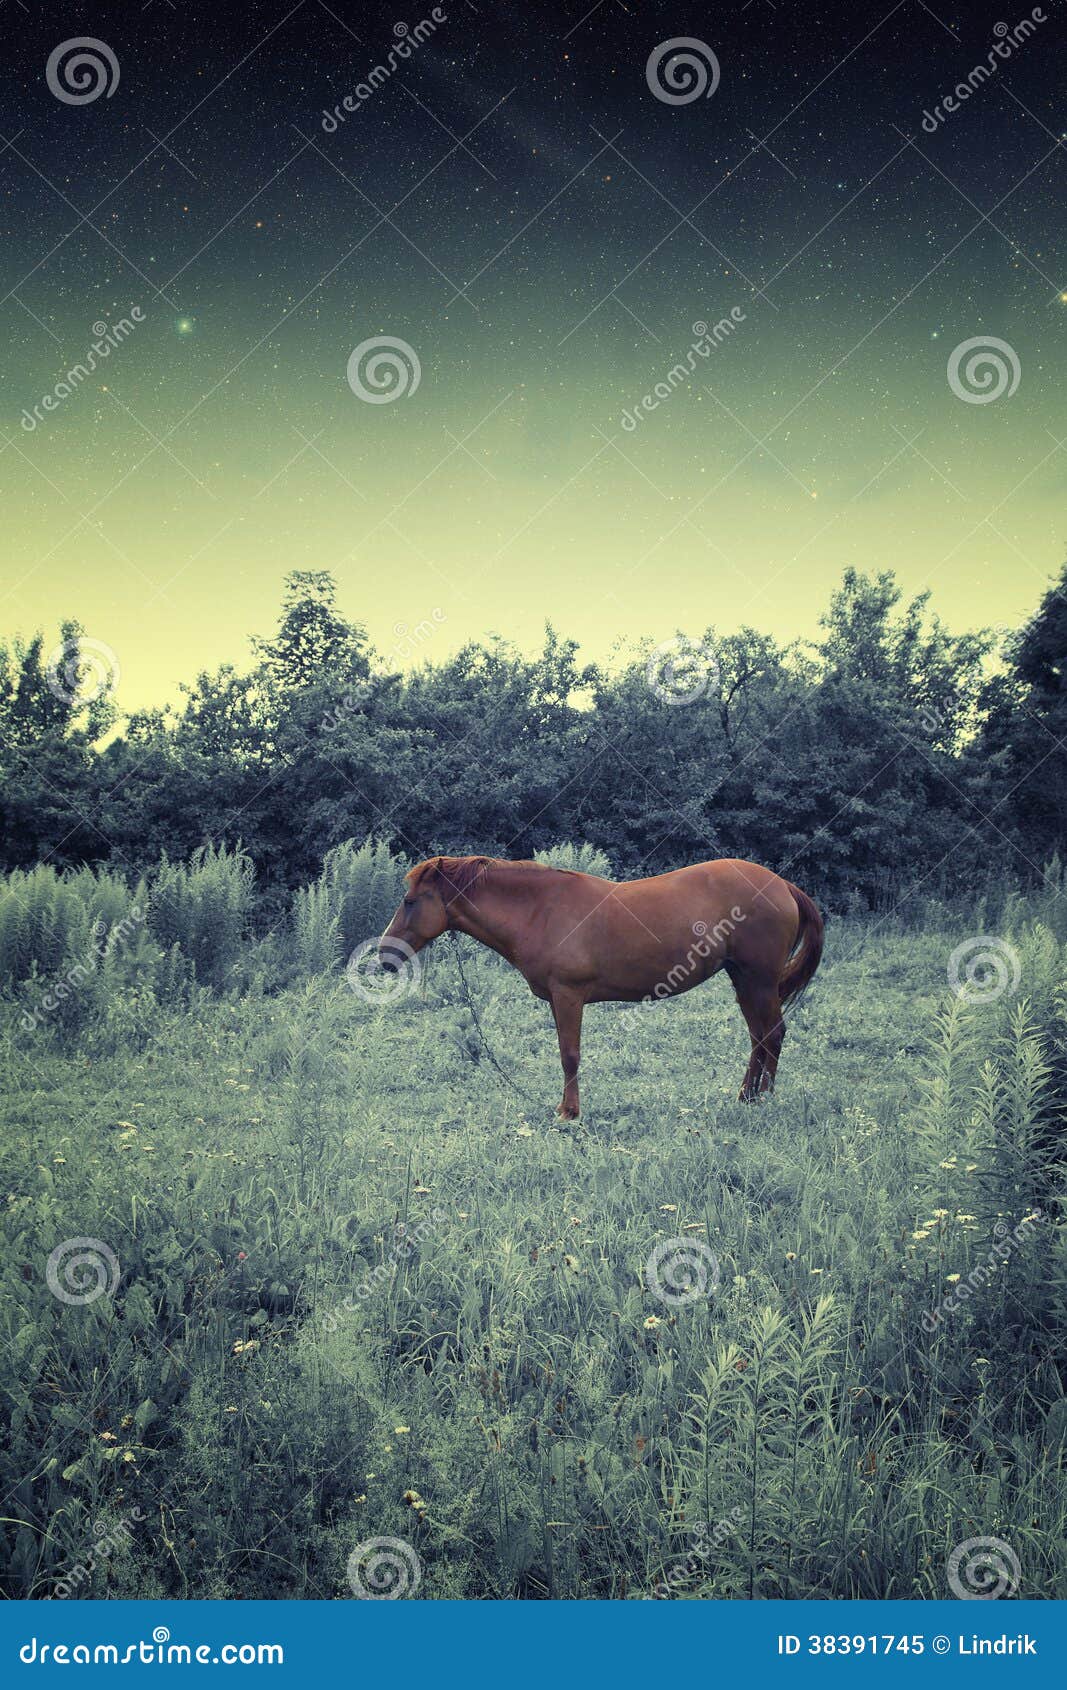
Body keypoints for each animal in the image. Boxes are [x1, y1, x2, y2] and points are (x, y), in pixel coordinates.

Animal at [379, 855, 824, 1120]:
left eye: (410, 901)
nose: (385, 954)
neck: (541, 910)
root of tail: (782, 885)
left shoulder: (569, 996)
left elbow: (570, 1056)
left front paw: (569, 1113)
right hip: (743, 980)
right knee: (759, 1037)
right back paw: (746, 1097)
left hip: (758, 979)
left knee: (772, 1034)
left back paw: (764, 1099)